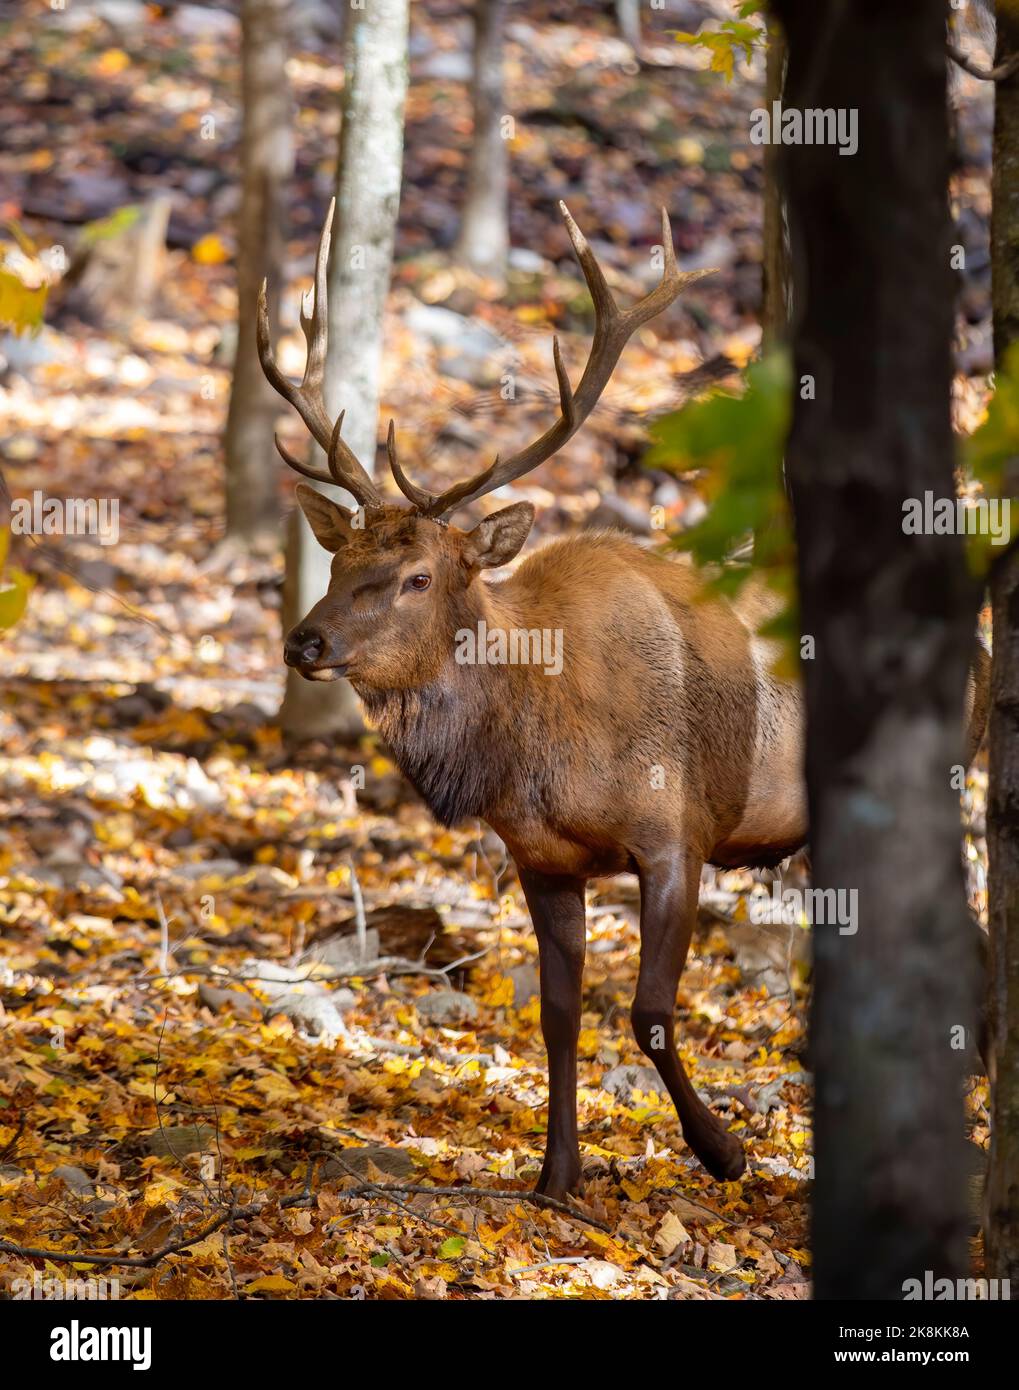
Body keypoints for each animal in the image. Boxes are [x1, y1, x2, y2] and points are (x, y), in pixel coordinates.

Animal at [256, 200, 990, 1201]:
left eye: (415, 577)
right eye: (337, 563)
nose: (305, 642)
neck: (537, 744)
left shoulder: (675, 832)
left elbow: (648, 1011)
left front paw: (723, 1151)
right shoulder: (541, 860)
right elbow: (559, 1016)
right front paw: (556, 1176)